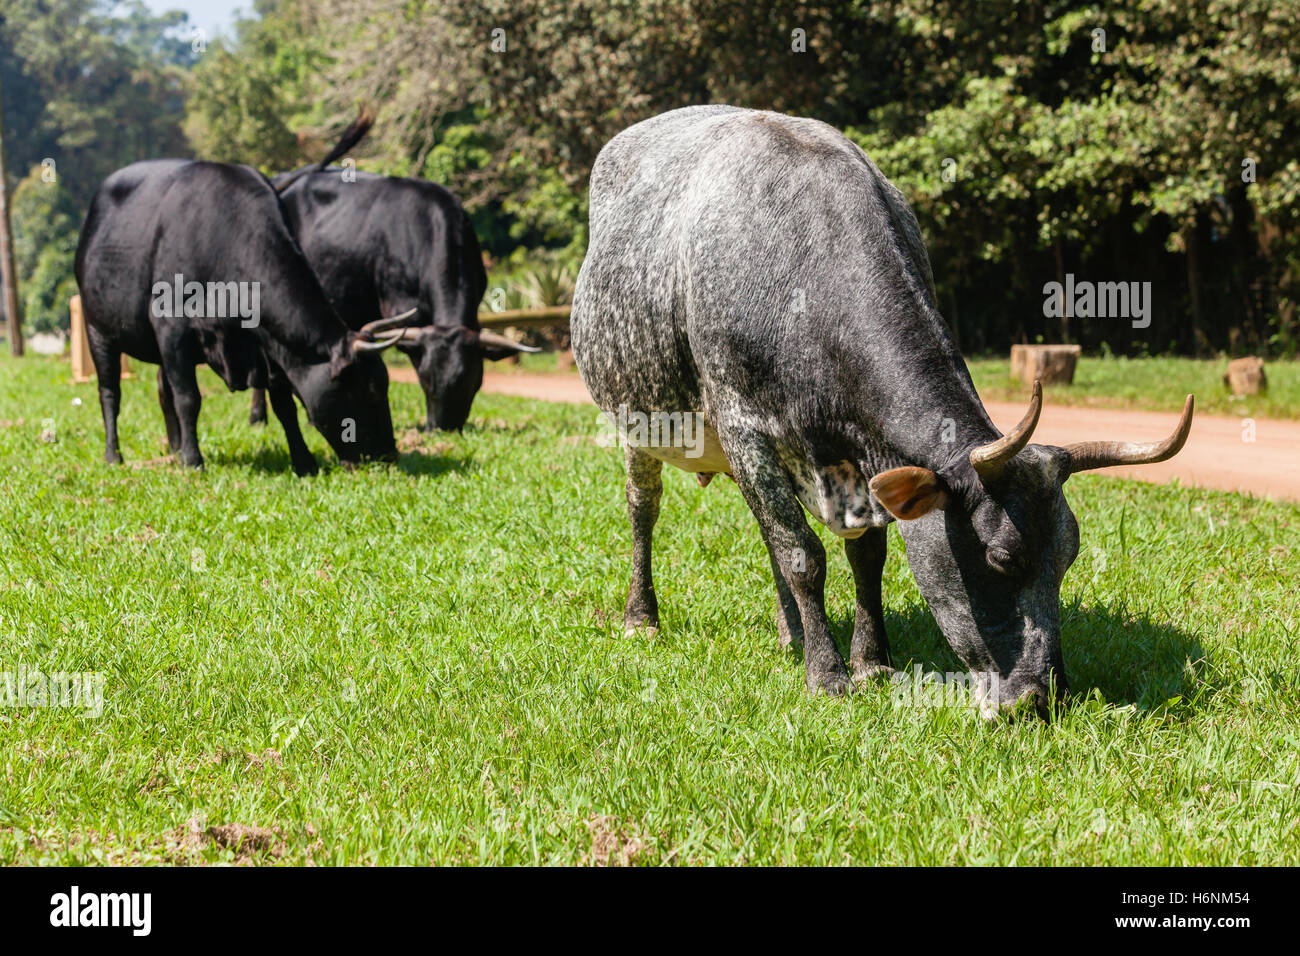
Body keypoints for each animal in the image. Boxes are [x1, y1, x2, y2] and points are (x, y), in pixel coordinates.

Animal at [75, 159, 410, 476]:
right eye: (368, 390)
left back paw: (174, 447)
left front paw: (304, 462)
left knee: (162, 390)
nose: (389, 456)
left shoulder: (267, 343)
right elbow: (189, 399)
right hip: (97, 329)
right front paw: (193, 461)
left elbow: (284, 404)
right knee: (110, 394)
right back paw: (114, 455)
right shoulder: (172, 330)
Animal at [571, 106, 1193, 719]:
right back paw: (642, 617)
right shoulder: (744, 427)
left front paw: (870, 662)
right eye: (1000, 558)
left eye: (1067, 558)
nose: (1040, 699)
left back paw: (792, 633)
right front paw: (827, 676)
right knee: (645, 508)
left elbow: (865, 554)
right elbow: (802, 555)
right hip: (641, 421)